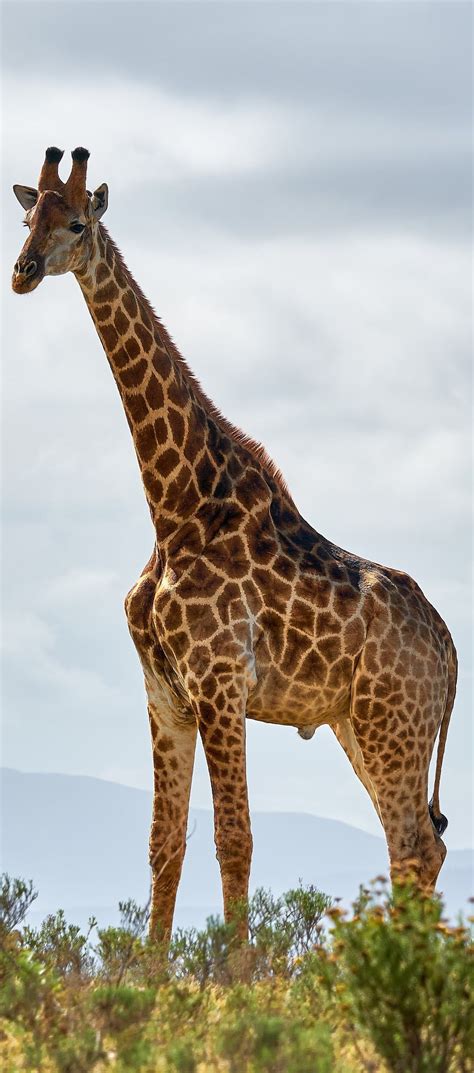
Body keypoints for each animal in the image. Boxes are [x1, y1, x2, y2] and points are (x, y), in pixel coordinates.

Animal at [12, 148, 457, 941]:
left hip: (393, 724)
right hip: (359, 724)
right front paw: (152, 975)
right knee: (419, 844)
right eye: (27, 215)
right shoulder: (165, 691)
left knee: (411, 843)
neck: (173, 507)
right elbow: (165, 842)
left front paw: (232, 973)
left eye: (77, 222)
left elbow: (234, 838)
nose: (24, 271)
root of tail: (448, 645)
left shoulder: (220, 682)